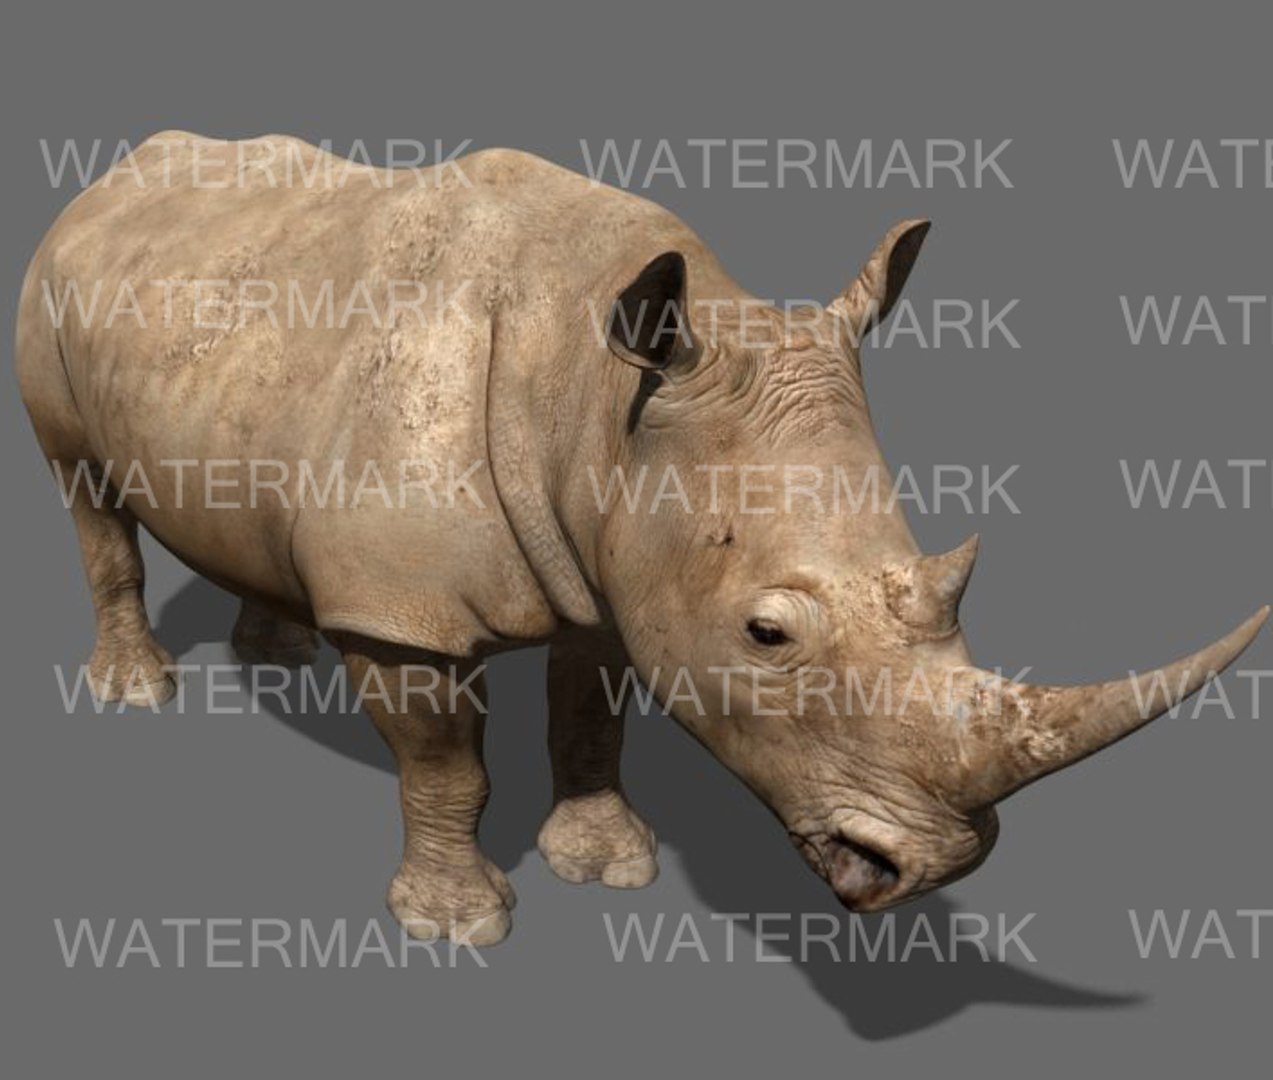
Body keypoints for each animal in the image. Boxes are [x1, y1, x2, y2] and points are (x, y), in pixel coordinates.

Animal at [17, 132, 1266, 945]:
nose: (928, 866)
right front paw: (456, 926)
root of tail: (118, 170)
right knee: (82, 486)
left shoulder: (618, 559)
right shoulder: (411, 611)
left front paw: (610, 864)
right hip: (49, 295)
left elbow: (591, 712)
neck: (592, 400)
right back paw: (139, 692)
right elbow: (445, 761)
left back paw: (277, 655)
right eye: (767, 635)